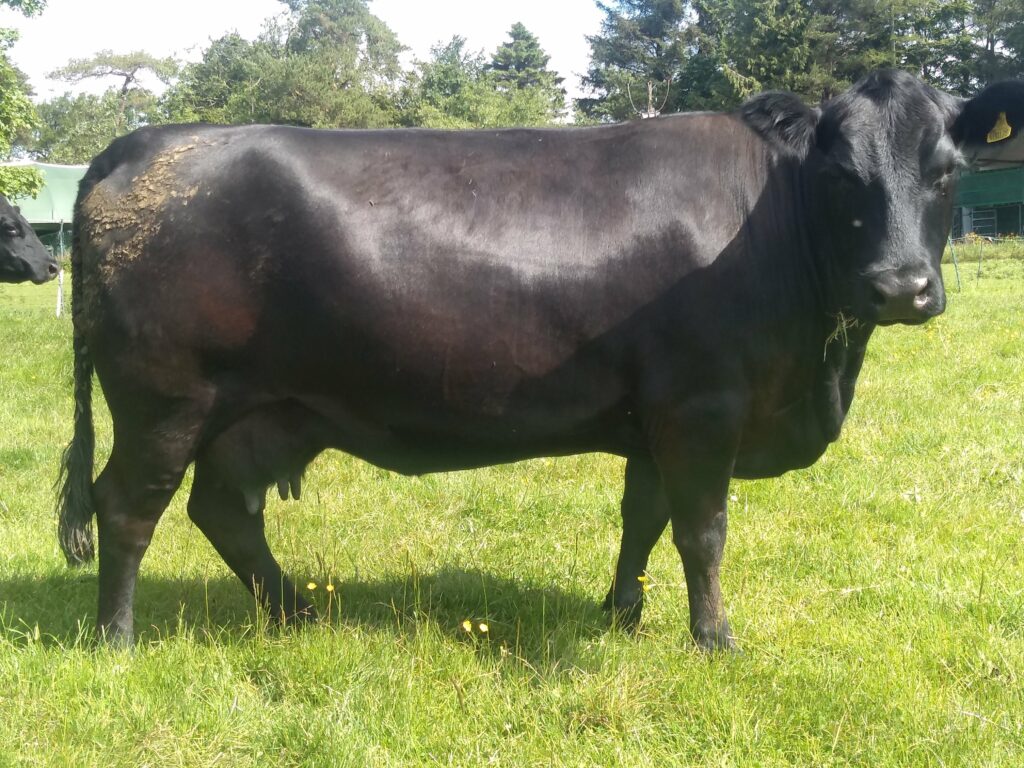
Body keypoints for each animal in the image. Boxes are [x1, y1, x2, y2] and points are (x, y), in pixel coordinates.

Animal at [56, 70, 1024, 649]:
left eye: (945, 171)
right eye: (838, 176)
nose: (902, 287)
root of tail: (146, 141)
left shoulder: (653, 414)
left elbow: (644, 518)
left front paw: (623, 612)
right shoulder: (702, 407)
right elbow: (702, 530)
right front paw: (713, 638)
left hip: (256, 411)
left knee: (224, 510)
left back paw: (295, 609)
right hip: (164, 399)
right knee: (128, 507)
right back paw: (116, 638)